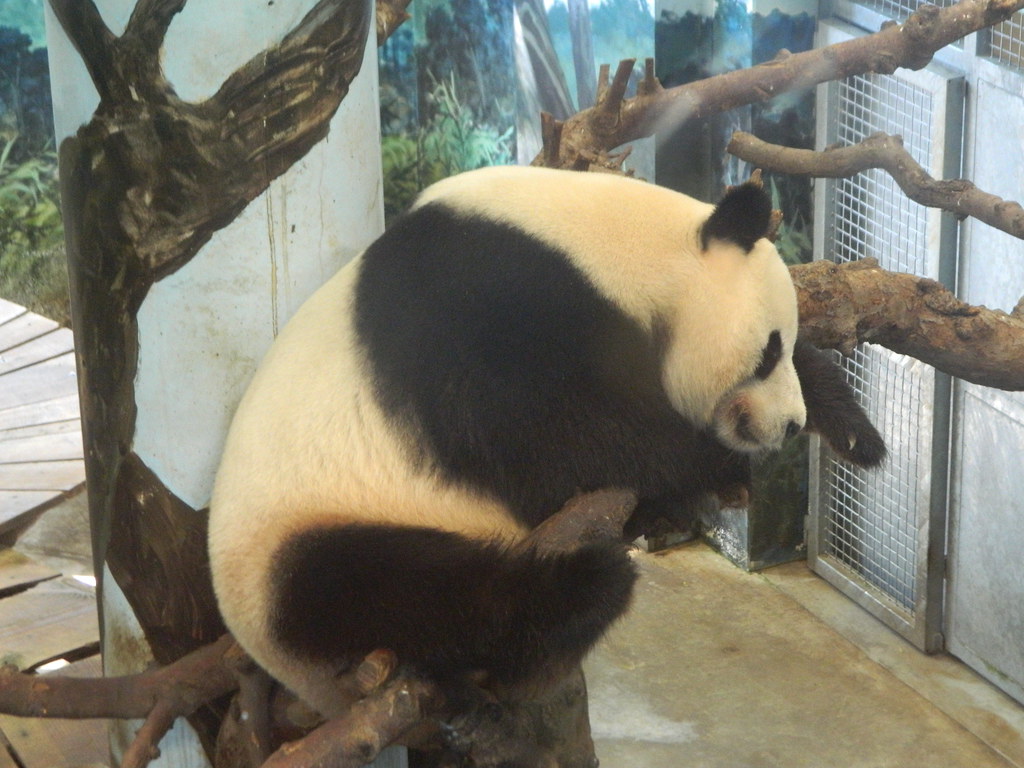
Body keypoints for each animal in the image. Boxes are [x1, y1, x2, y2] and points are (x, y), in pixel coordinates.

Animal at [208, 165, 884, 718]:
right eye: (765, 352)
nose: (790, 424)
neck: (610, 251)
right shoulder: (483, 306)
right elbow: (543, 434)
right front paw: (711, 469)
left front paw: (853, 429)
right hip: (298, 551)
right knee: (405, 591)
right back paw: (587, 588)